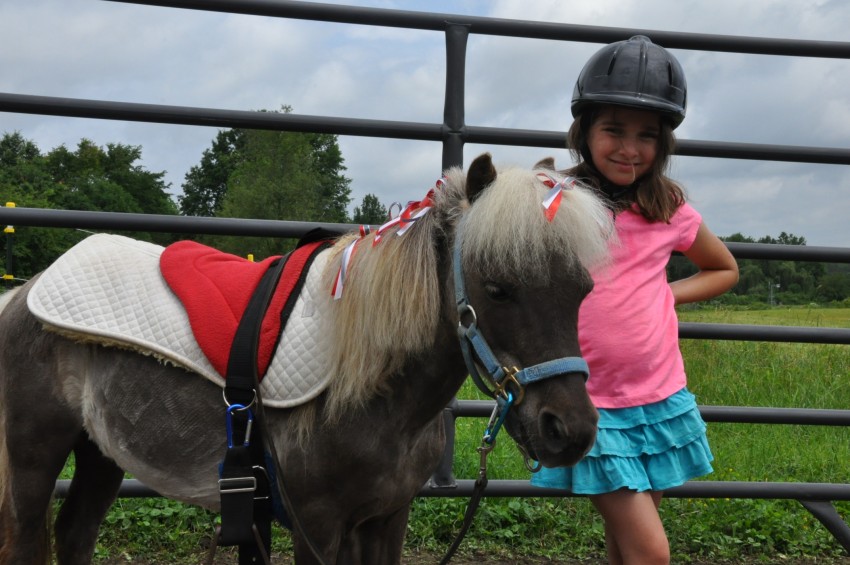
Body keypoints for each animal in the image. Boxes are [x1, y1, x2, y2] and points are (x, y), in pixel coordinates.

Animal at [0, 152, 613, 565]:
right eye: (498, 289)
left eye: (583, 291)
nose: (570, 430)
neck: (371, 390)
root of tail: (24, 292)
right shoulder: (316, 525)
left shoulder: (386, 519)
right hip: (35, 456)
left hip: (101, 452)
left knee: (75, 534)